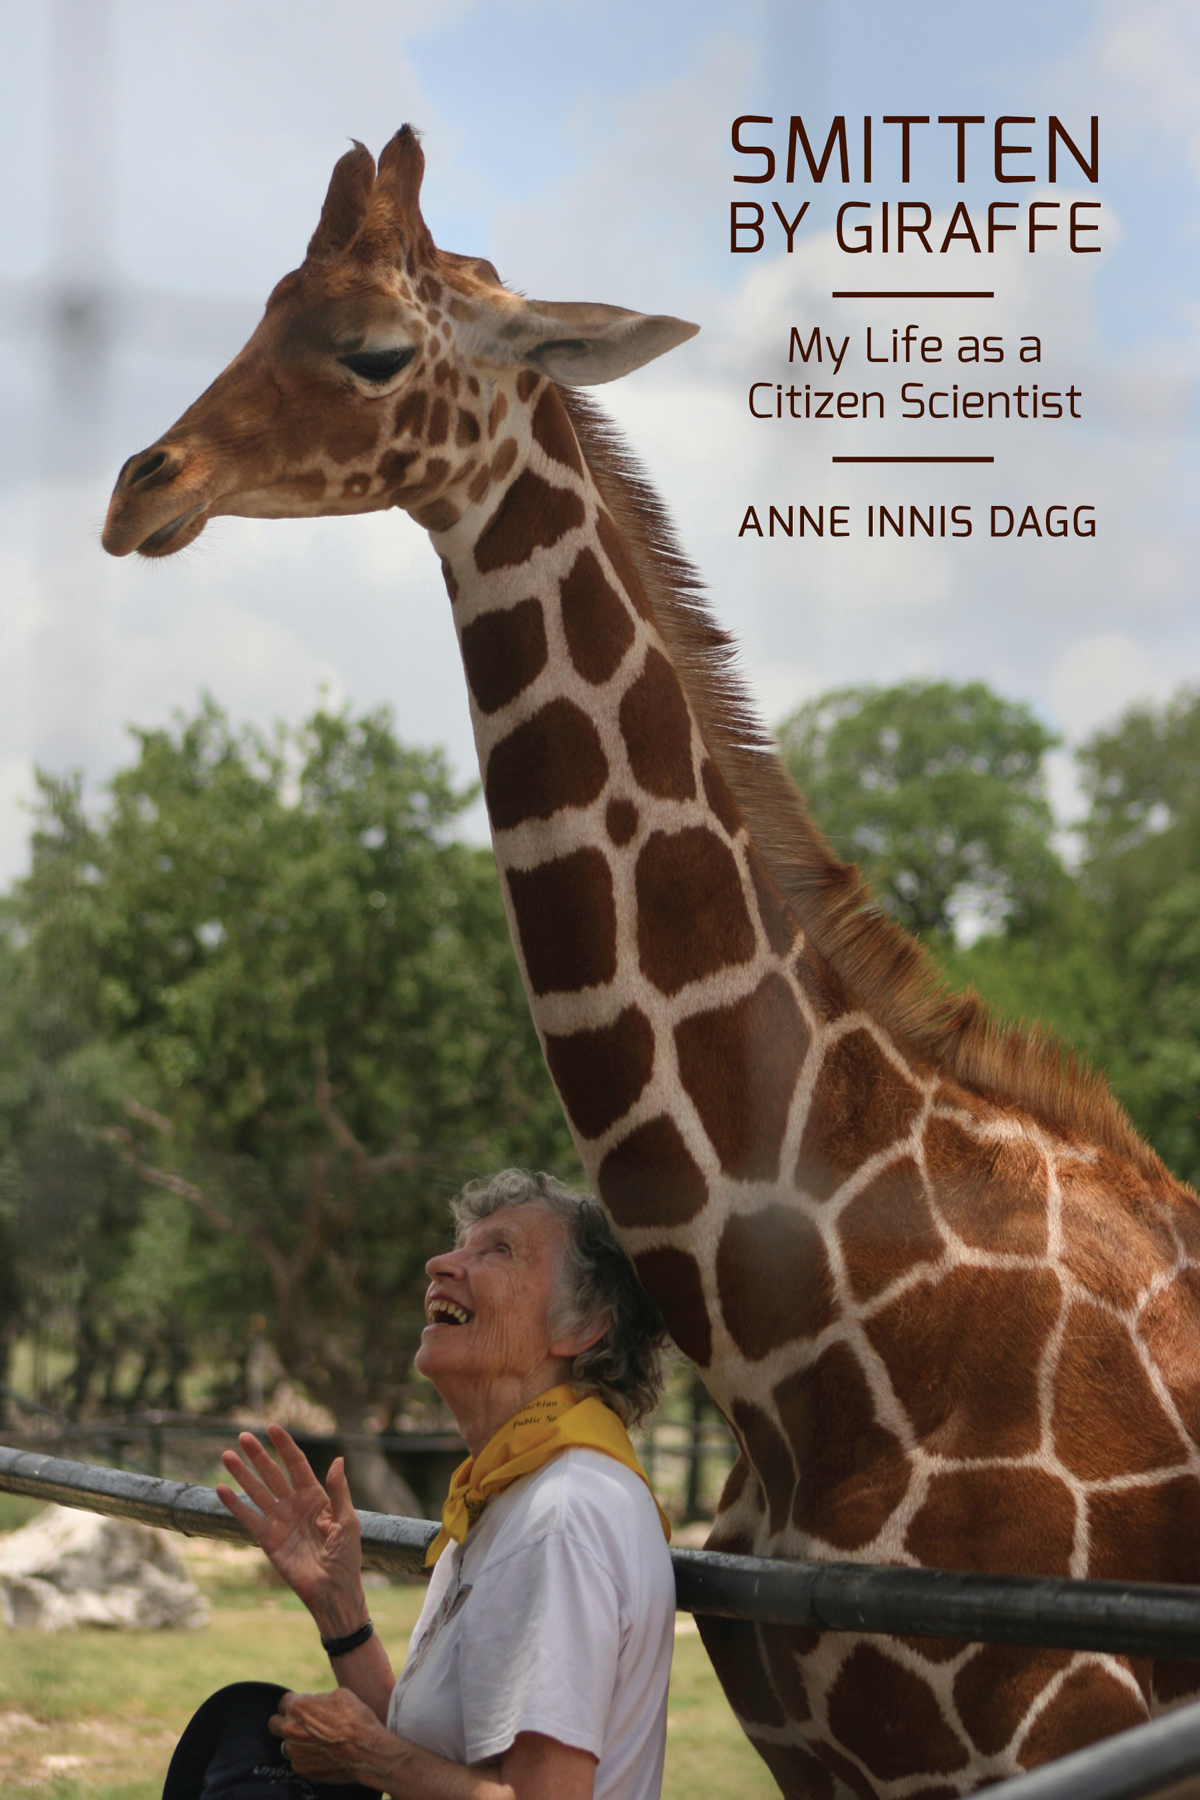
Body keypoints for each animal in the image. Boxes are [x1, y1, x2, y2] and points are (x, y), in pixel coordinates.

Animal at [101, 128, 1200, 1798]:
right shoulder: (822, 1742)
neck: (813, 1347)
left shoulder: (1064, 1726)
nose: (140, 490)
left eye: (371, 350)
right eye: (262, 307)